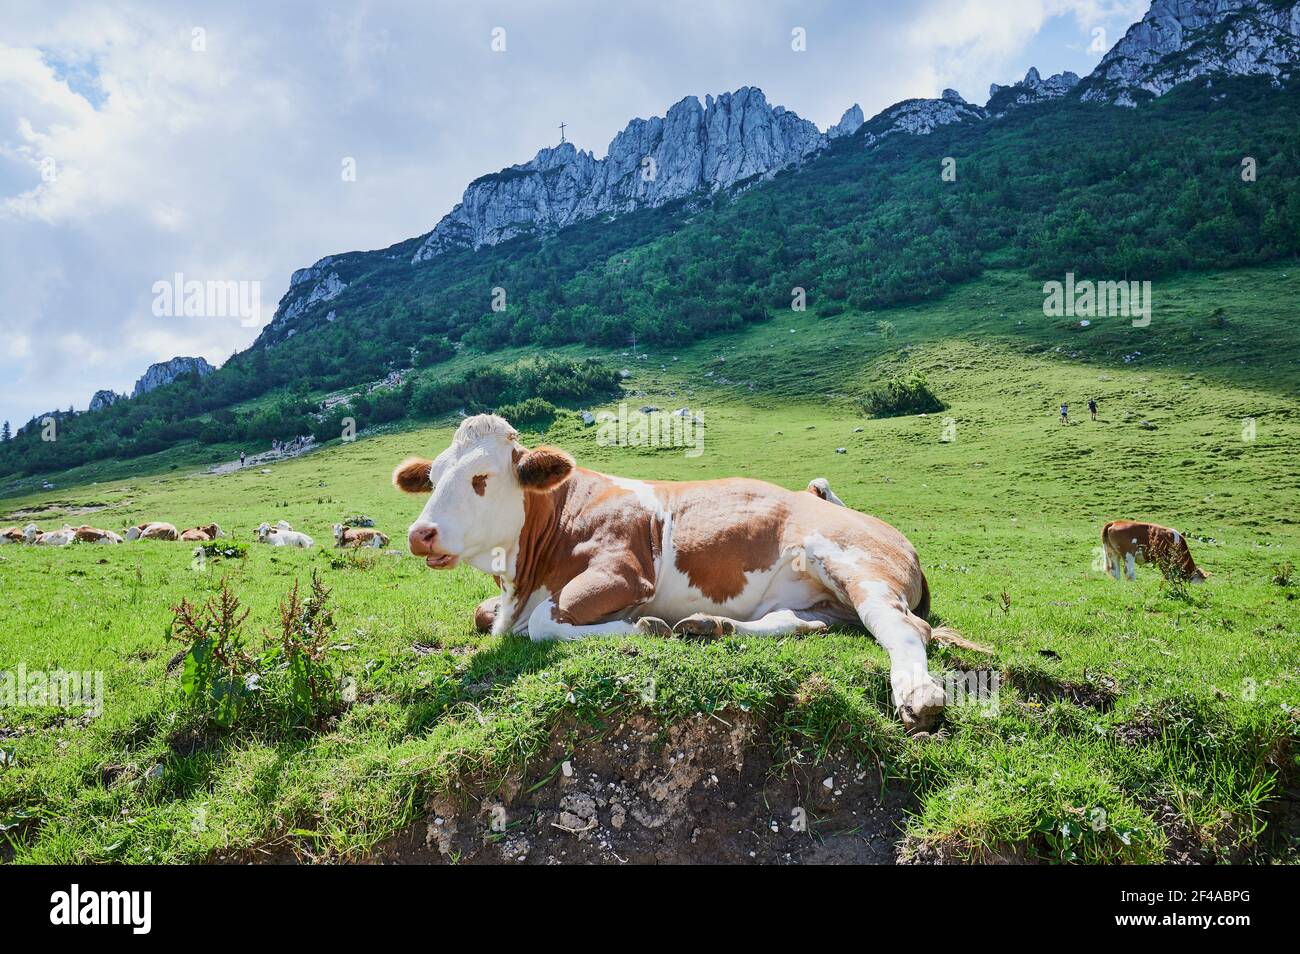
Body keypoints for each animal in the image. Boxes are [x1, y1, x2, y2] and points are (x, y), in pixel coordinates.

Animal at [394, 414, 984, 732]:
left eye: (481, 478)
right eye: (435, 477)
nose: (419, 534)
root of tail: (889, 530)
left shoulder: (624, 571)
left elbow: (545, 622)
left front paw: (642, 626)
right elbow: (482, 614)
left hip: (849, 559)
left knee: (903, 626)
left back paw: (918, 694)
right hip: (816, 598)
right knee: (801, 622)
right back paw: (707, 626)